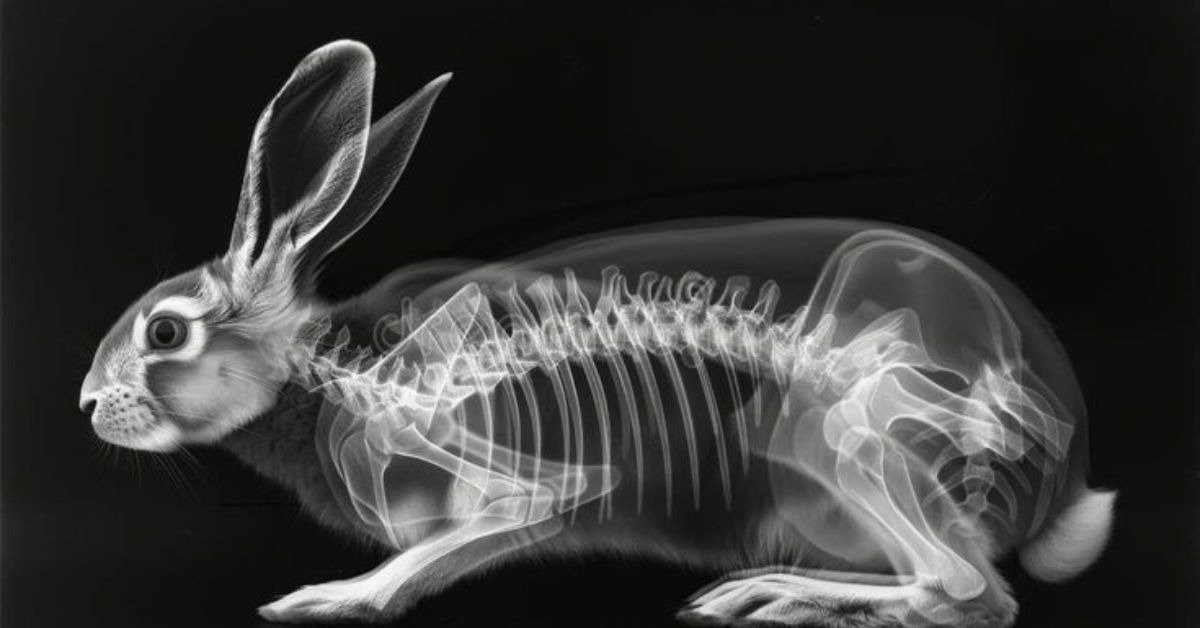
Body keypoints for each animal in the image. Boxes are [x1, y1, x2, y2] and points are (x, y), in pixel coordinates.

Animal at [80, 40, 1115, 627]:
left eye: (165, 332)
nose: (90, 404)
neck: (335, 378)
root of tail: (1059, 467)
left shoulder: (511, 470)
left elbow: (484, 529)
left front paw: (326, 600)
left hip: (838, 429)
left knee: (970, 591)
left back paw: (766, 596)